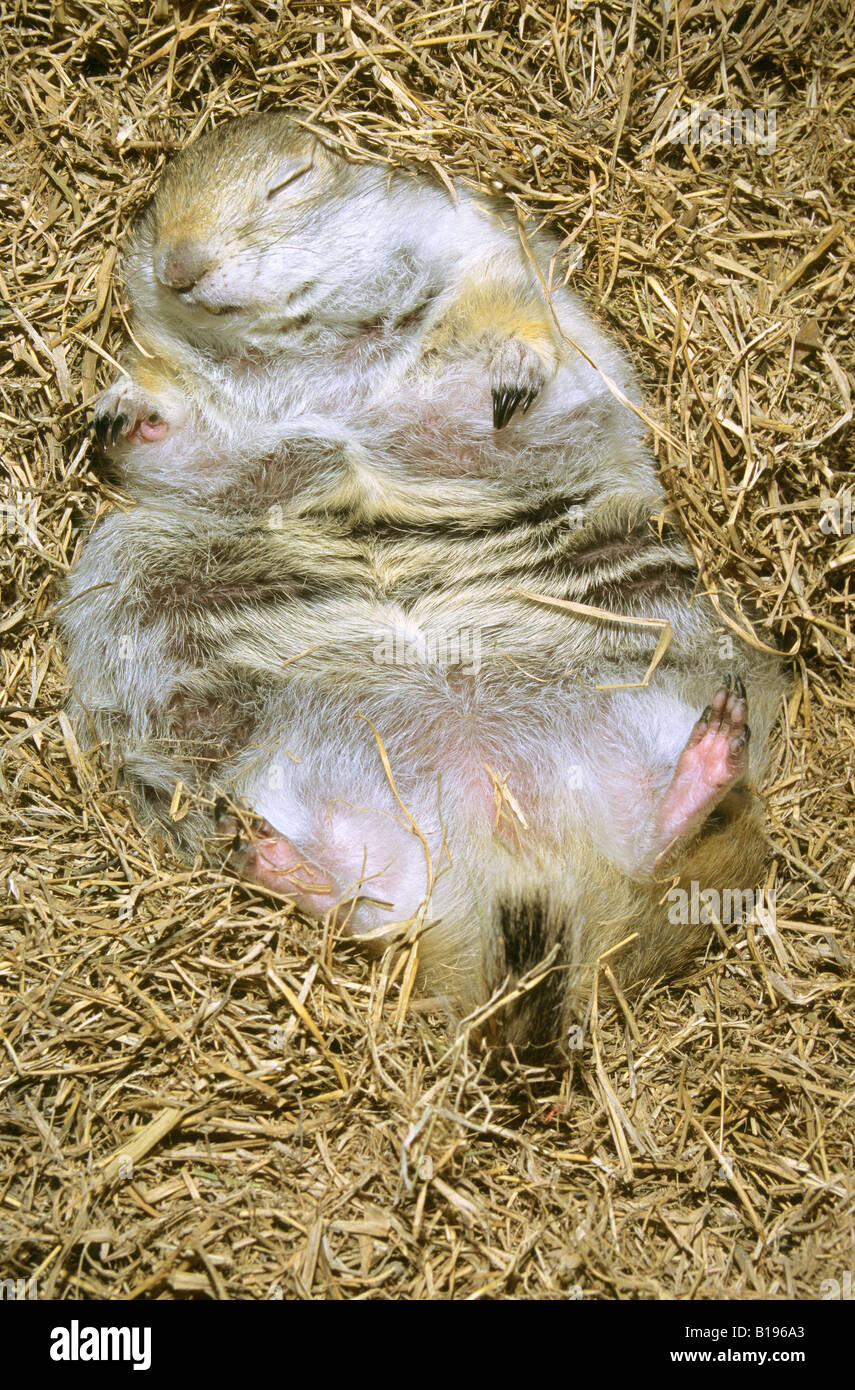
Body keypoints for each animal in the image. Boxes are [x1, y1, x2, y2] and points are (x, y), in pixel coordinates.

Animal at [65, 113, 785, 1054]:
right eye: (154, 219)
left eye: (291, 181)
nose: (180, 267)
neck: (329, 357)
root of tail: (514, 855)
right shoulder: (225, 443)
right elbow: (189, 445)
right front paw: (116, 411)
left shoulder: (505, 282)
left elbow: (535, 358)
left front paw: (514, 375)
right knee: (376, 908)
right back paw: (270, 857)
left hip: (665, 713)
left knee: (674, 863)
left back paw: (710, 757)